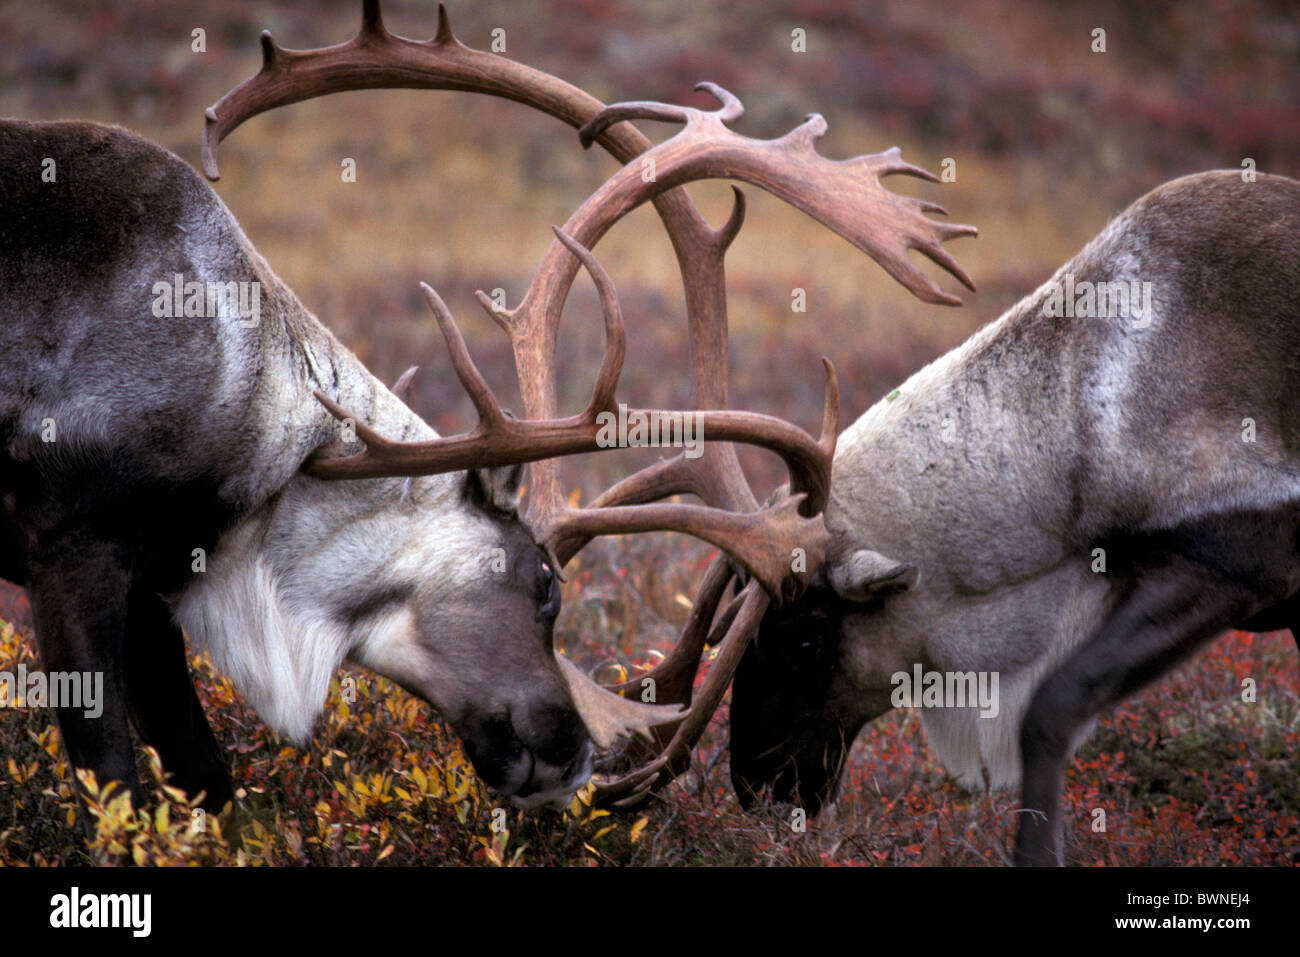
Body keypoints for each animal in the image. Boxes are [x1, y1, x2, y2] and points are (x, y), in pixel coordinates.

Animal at [0, 2, 975, 819]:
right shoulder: (73, 549)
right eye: (545, 585)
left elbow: (202, 775)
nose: (573, 758)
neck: (268, 432)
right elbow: (117, 778)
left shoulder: (158, 588)